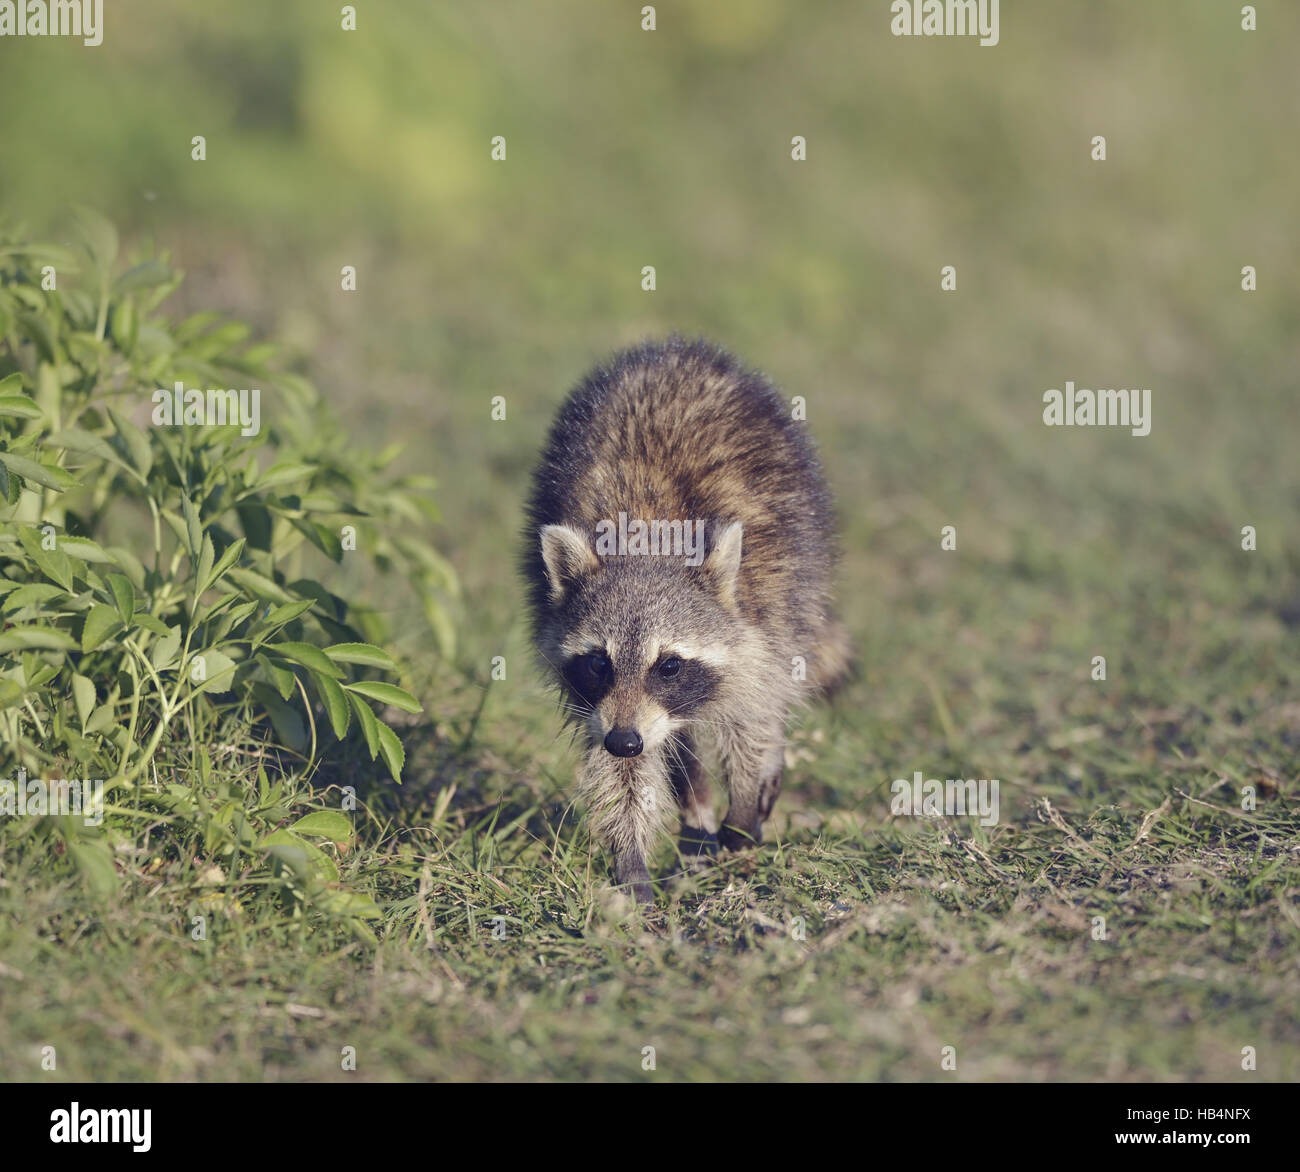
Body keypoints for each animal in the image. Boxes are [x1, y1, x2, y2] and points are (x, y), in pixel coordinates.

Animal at [523, 337, 849, 905]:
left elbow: (753, 712)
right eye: (598, 663)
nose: (624, 740)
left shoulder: (763, 609)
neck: (644, 546)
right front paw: (631, 859)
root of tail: (678, 348)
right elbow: (624, 773)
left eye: (669, 665)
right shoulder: (603, 703)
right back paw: (694, 803)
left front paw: (745, 801)